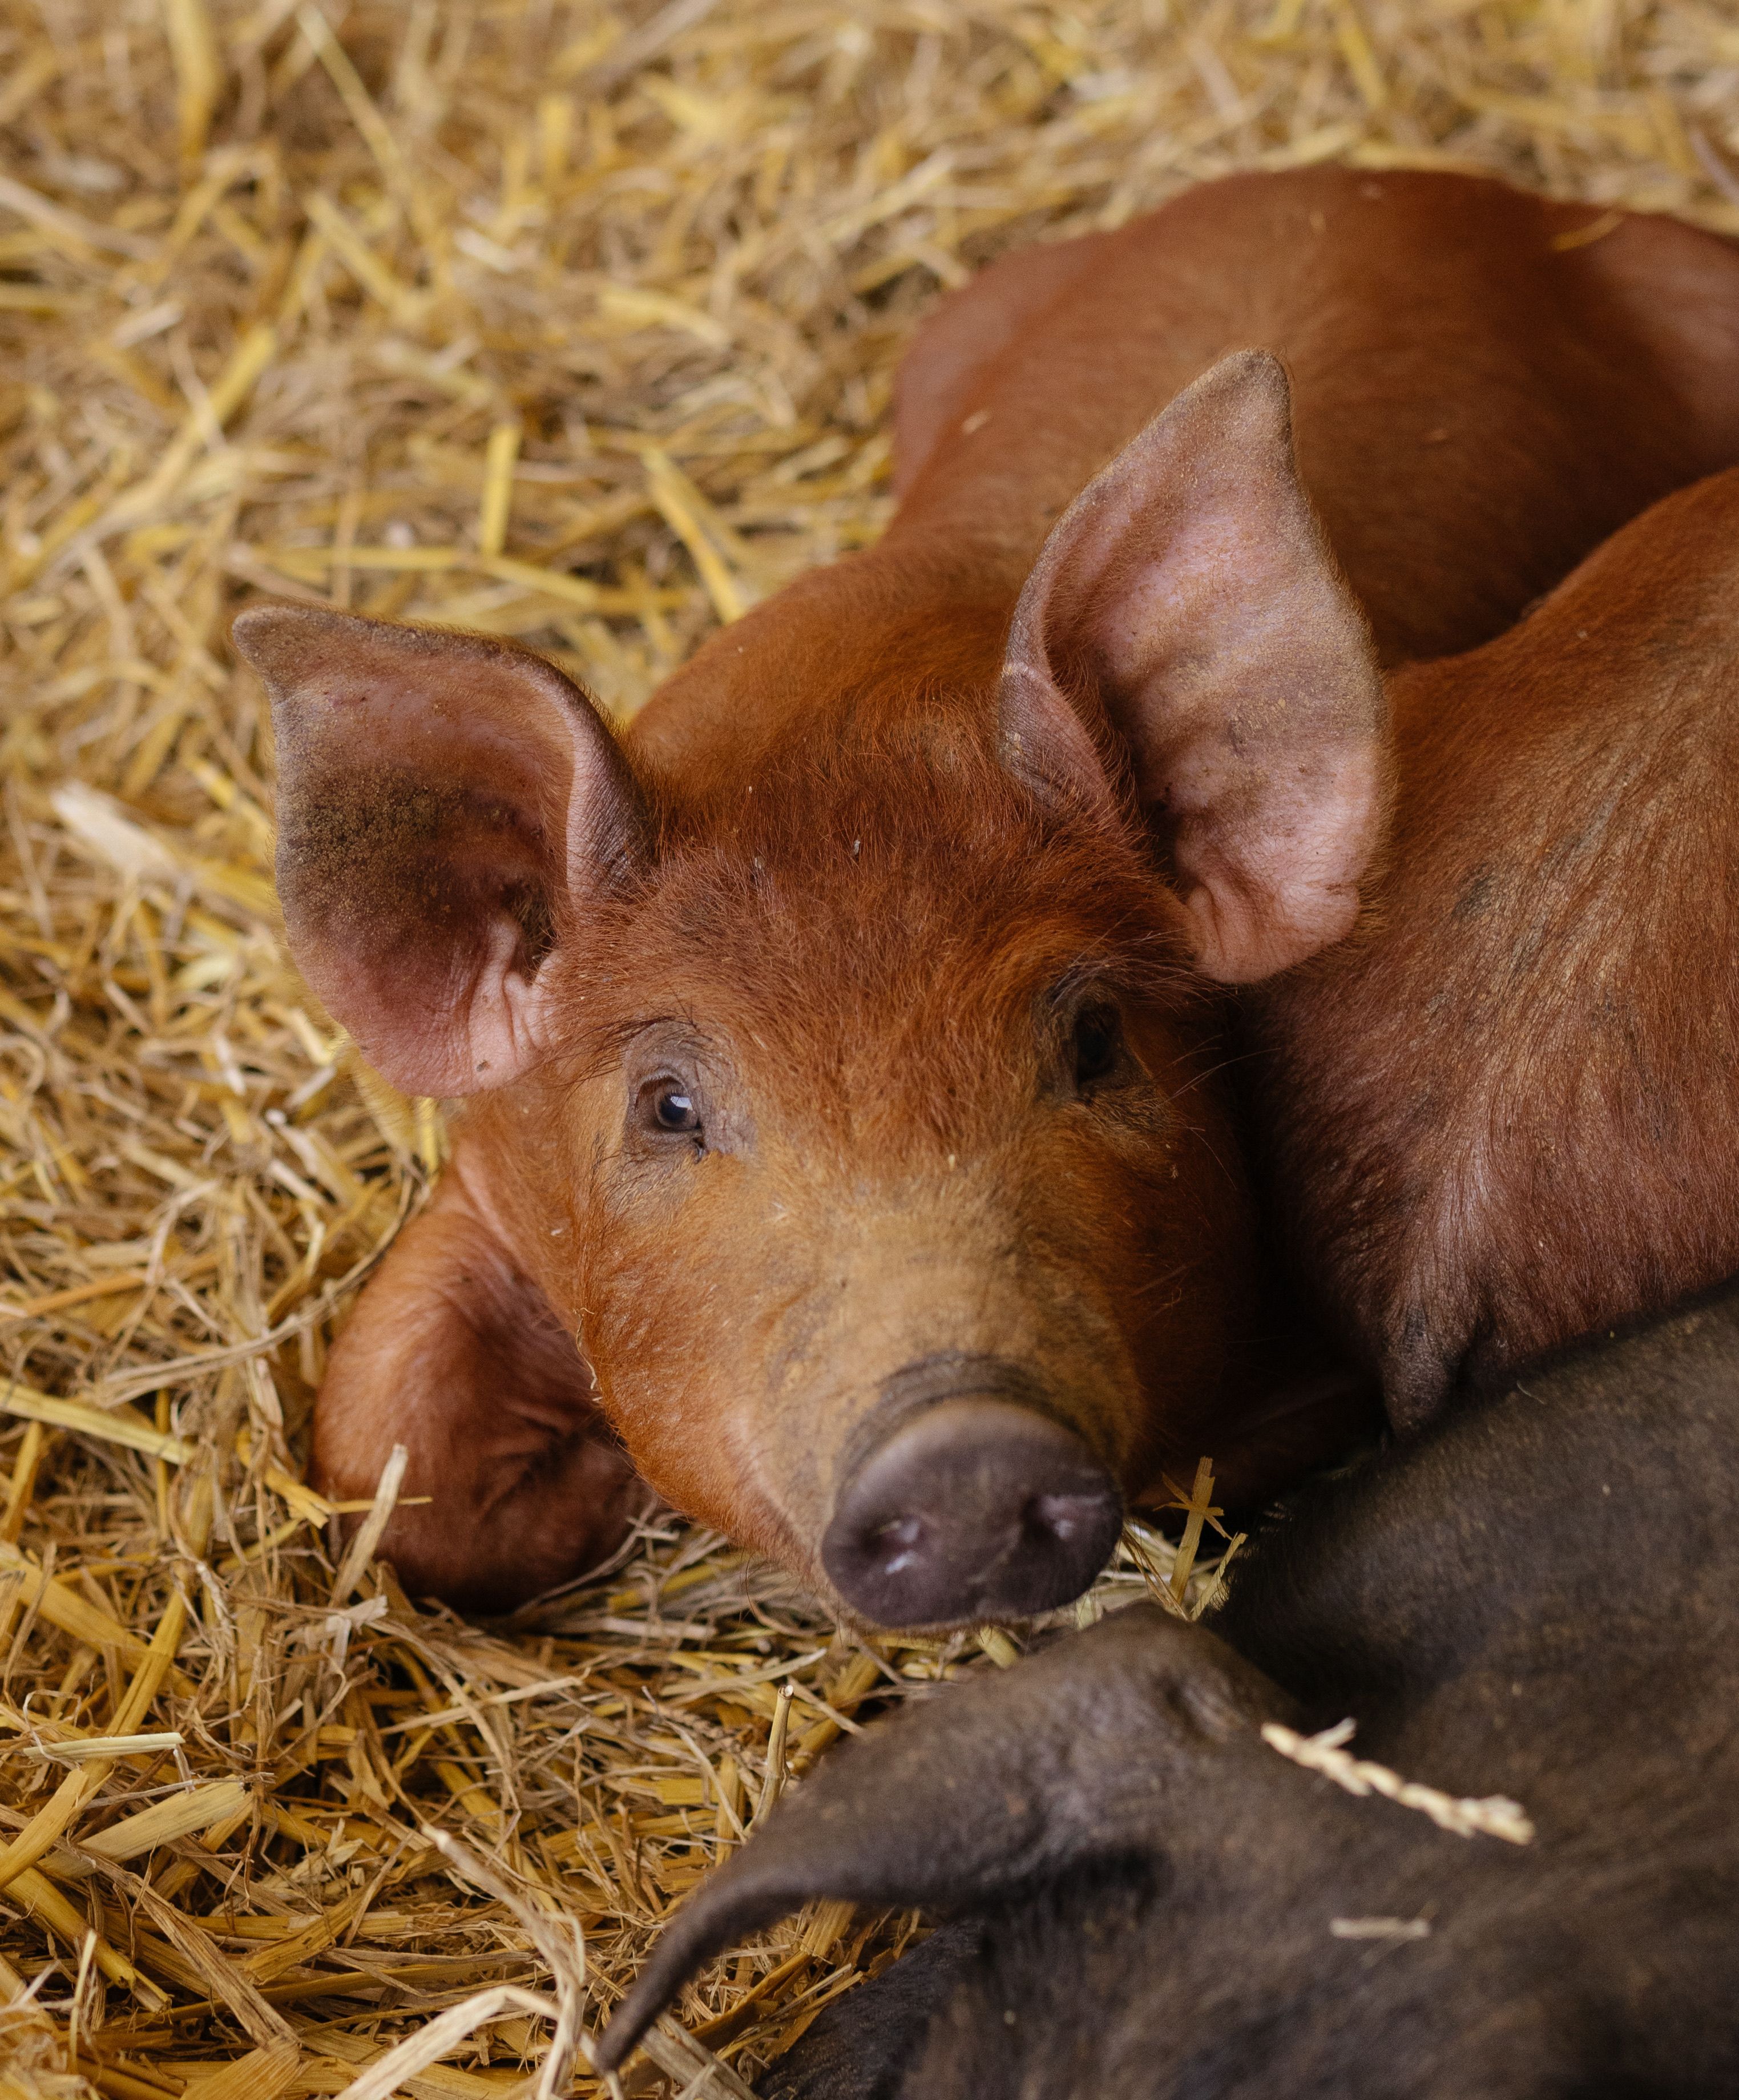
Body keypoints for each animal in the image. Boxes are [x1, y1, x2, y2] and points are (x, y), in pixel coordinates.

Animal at [231, 165, 1739, 1624]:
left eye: (1094, 1038)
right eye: (667, 1104)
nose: (958, 1445)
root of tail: (1411, 178)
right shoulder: (489, 1171)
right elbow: (380, 1440)